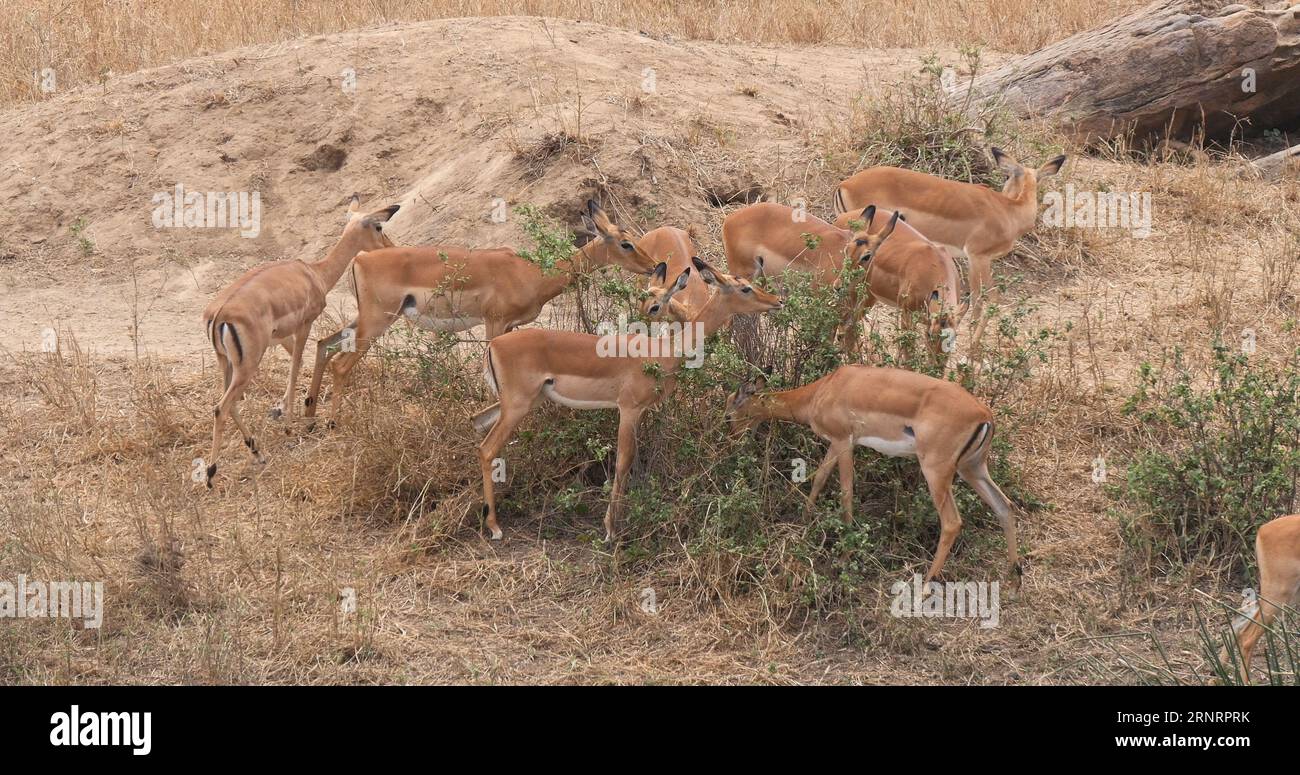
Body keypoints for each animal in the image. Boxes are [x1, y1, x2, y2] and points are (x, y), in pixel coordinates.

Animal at [202, 195, 401, 486]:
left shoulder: (284, 336)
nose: (390, 247)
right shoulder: (304, 326)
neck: (315, 273)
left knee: (230, 403)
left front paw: (281, 412)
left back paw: (257, 451)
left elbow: (300, 365)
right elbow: (295, 370)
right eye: (378, 227)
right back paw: (210, 474)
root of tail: (218, 316)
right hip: (248, 364)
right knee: (220, 407)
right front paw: (289, 426)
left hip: (226, 363)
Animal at [305, 200, 657, 422]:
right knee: (340, 364)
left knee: (324, 344)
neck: (532, 273)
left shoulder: (512, 328)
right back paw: (332, 424)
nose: (655, 265)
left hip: (365, 319)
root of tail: (361, 258)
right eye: (625, 243)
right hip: (377, 321)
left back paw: (309, 415)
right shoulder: (495, 323)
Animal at [471, 257, 783, 541]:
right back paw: (494, 527)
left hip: (523, 402)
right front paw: (610, 529)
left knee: (476, 422)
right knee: (487, 449)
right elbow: (623, 461)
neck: (663, 352)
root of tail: (493, 345)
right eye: (744, 288)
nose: (777, 300)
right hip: (517, 406)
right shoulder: (629, 409)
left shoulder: (640, 412)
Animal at [725, 365, 1022, 585]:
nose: (733, 441)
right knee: (1005, 506)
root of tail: (985, 414)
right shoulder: (834, 444)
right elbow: (819, 479)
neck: (824, 390)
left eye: (729, 414)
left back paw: (927, 584)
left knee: (952, 522)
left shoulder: (844, 442)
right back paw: (1013, 575)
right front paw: (804, 522)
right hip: (973, 468)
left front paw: (844, 556)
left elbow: (846, 494)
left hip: (937, 471)